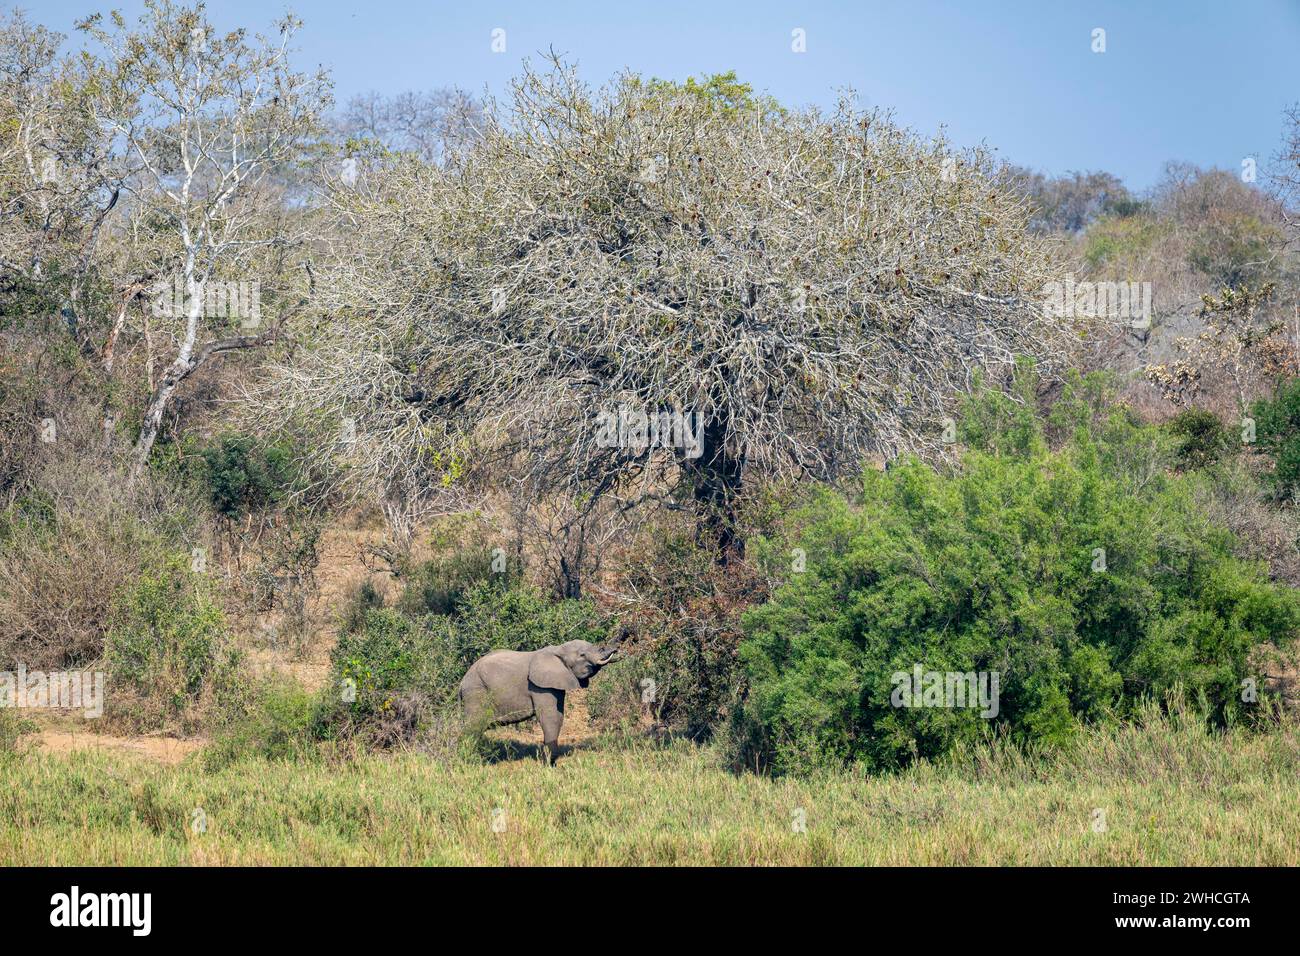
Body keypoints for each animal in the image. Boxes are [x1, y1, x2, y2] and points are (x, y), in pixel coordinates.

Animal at [458, 638, 620, 762]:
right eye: (582, 654)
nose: (617, 648)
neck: (558, 650)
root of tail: (461, 683)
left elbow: (558, 715)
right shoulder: (539, 685)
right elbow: (549, 716)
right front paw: (550, 763)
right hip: (475, 691)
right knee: (475, 725)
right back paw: (471, 759)